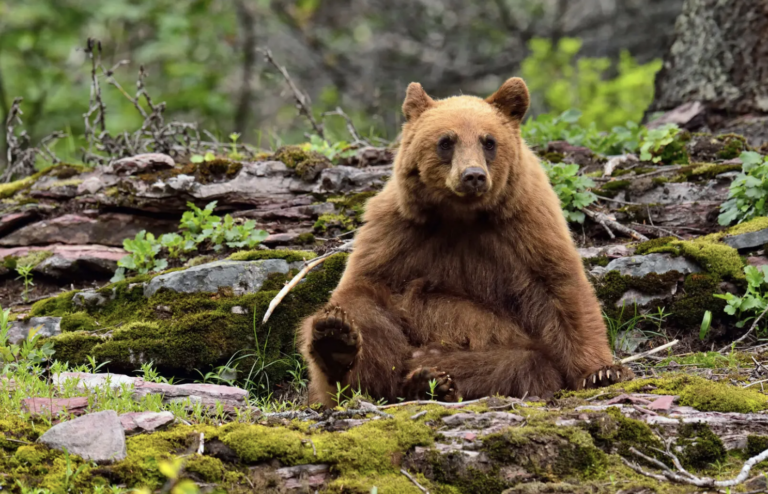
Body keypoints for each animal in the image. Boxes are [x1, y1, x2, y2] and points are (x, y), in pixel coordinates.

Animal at [299, 77, 633, 407]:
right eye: (446, 141)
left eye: (489, 141)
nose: (473, 175)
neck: (461, 216)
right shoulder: (396, 229)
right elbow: (361, 286)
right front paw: (337, 336)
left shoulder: (527, 225)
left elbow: (561, 289)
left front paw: (602, 372)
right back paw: (340, 345)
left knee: (517, 363)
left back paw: (430, 381)